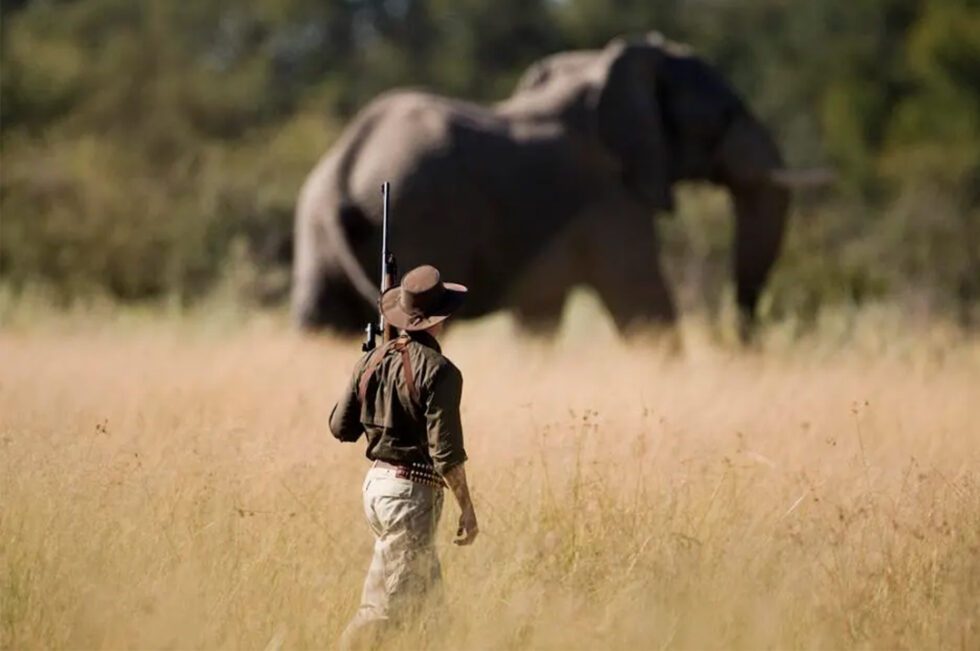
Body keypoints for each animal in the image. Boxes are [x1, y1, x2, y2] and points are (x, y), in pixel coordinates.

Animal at [292, 32, 811, 336]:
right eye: (726, 115)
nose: (744, 334)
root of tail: (345, 163)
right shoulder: (609, 199)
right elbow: (643, 301)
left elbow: (540, 314)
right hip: (423, 215)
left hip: (317, 231)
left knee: (319, 320)